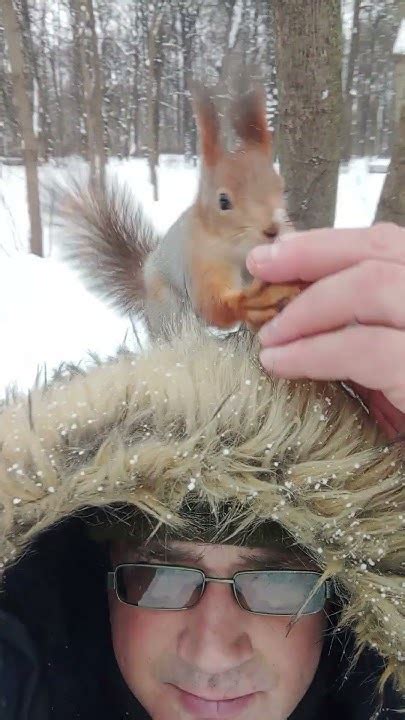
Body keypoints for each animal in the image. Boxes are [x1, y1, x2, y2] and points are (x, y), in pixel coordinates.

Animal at [57, 82, 306, 338]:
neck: (241, 249)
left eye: (282, 188)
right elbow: (212, 305)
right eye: (223, 201)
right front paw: (248, 303)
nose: (272, 230)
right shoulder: (201, 260)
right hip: (168, 305)